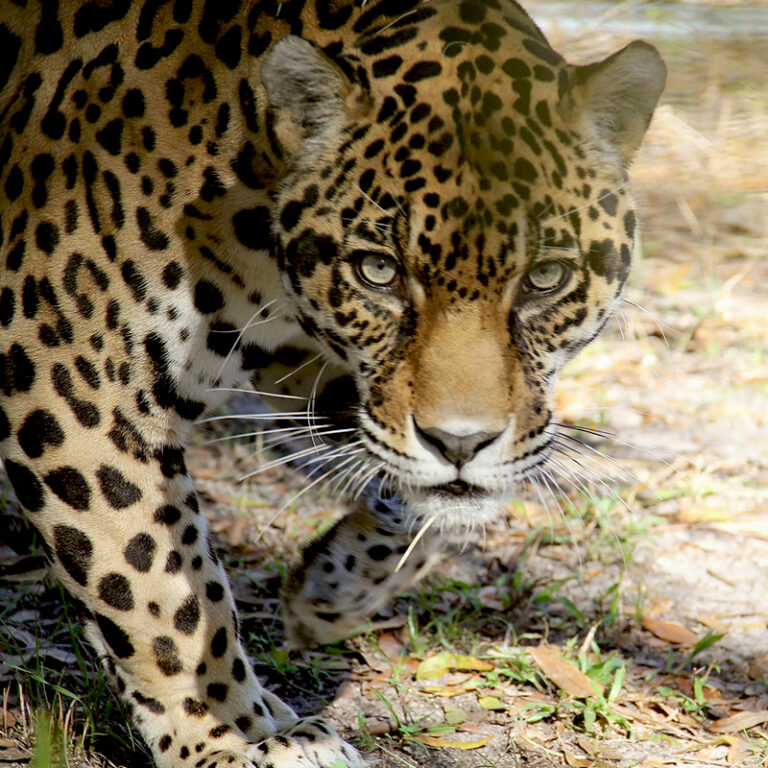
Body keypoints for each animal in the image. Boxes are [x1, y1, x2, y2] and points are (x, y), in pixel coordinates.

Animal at [0, 0, 666, 765]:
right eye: (378, 271)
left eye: (545, 279)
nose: (461, 444)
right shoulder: (72, 383)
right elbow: (161, 592)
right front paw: (228, 741)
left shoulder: (315, 360)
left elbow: (414, 499)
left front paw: (327, 597)